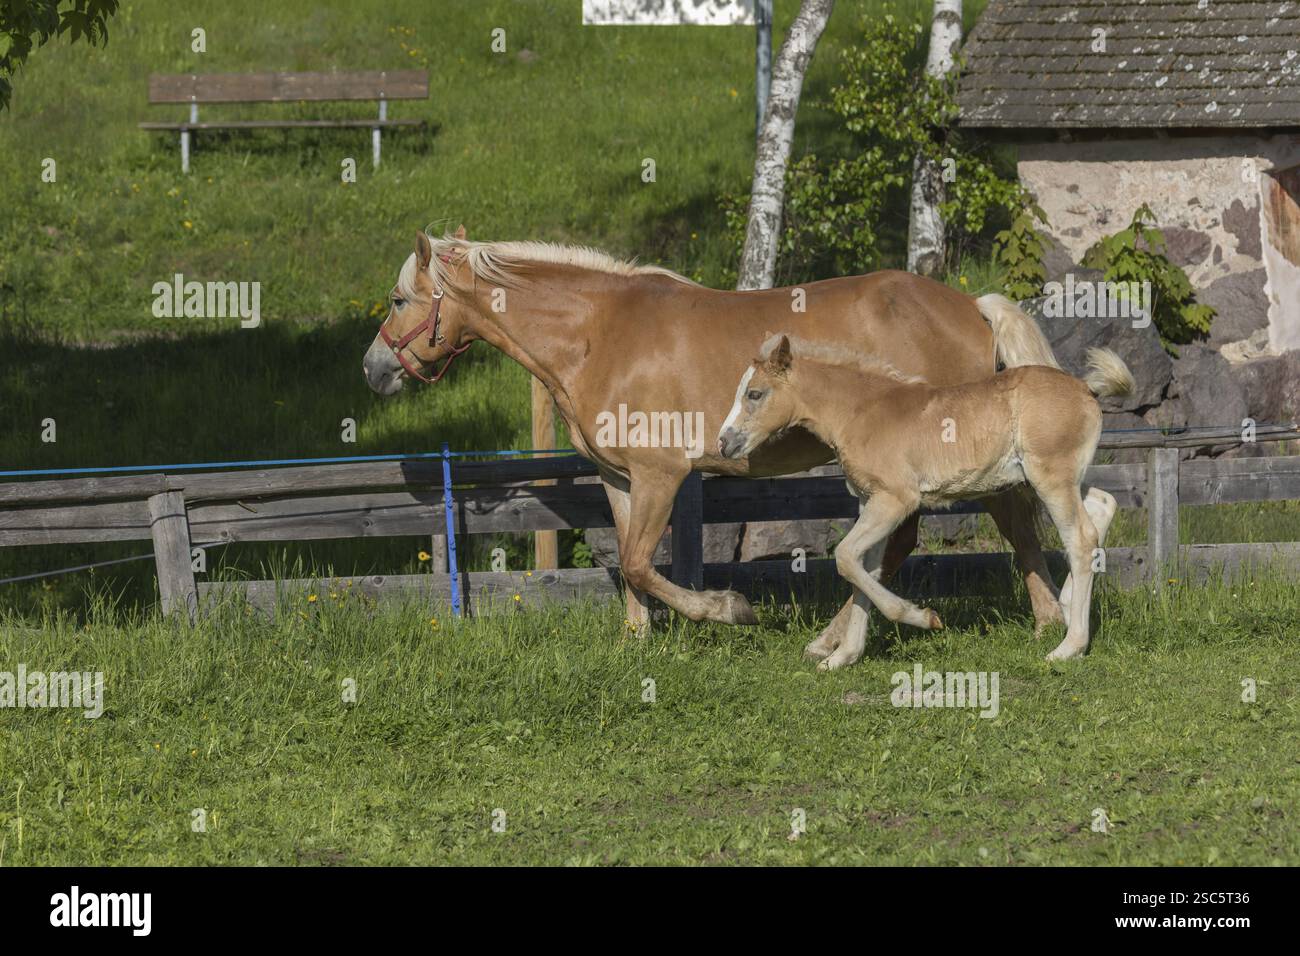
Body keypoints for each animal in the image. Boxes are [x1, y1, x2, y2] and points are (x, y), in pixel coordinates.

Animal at [362, 228, 1069, 648]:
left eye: (396, 300)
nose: (372, 371)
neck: (598, 333)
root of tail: (971, 306)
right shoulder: (620, 477)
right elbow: (629, 563)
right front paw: (637, 642)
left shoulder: (662, 474)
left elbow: (643, 563)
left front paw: (729, 609)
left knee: (998, 524)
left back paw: (1044, 621)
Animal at [717, 334, 1132, 667]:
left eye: (755, 394)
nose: (725, 442)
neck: (861, 410)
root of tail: (1086, 390)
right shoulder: (870, 501)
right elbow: (864, 567)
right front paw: (843, 657)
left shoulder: (896, 500)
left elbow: (846, 557)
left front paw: (921, 617)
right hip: (1056, 479)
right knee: (1102, 505)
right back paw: (1067, 605)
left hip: (1050, 477)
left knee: (1080, 538)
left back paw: (1069, 647)